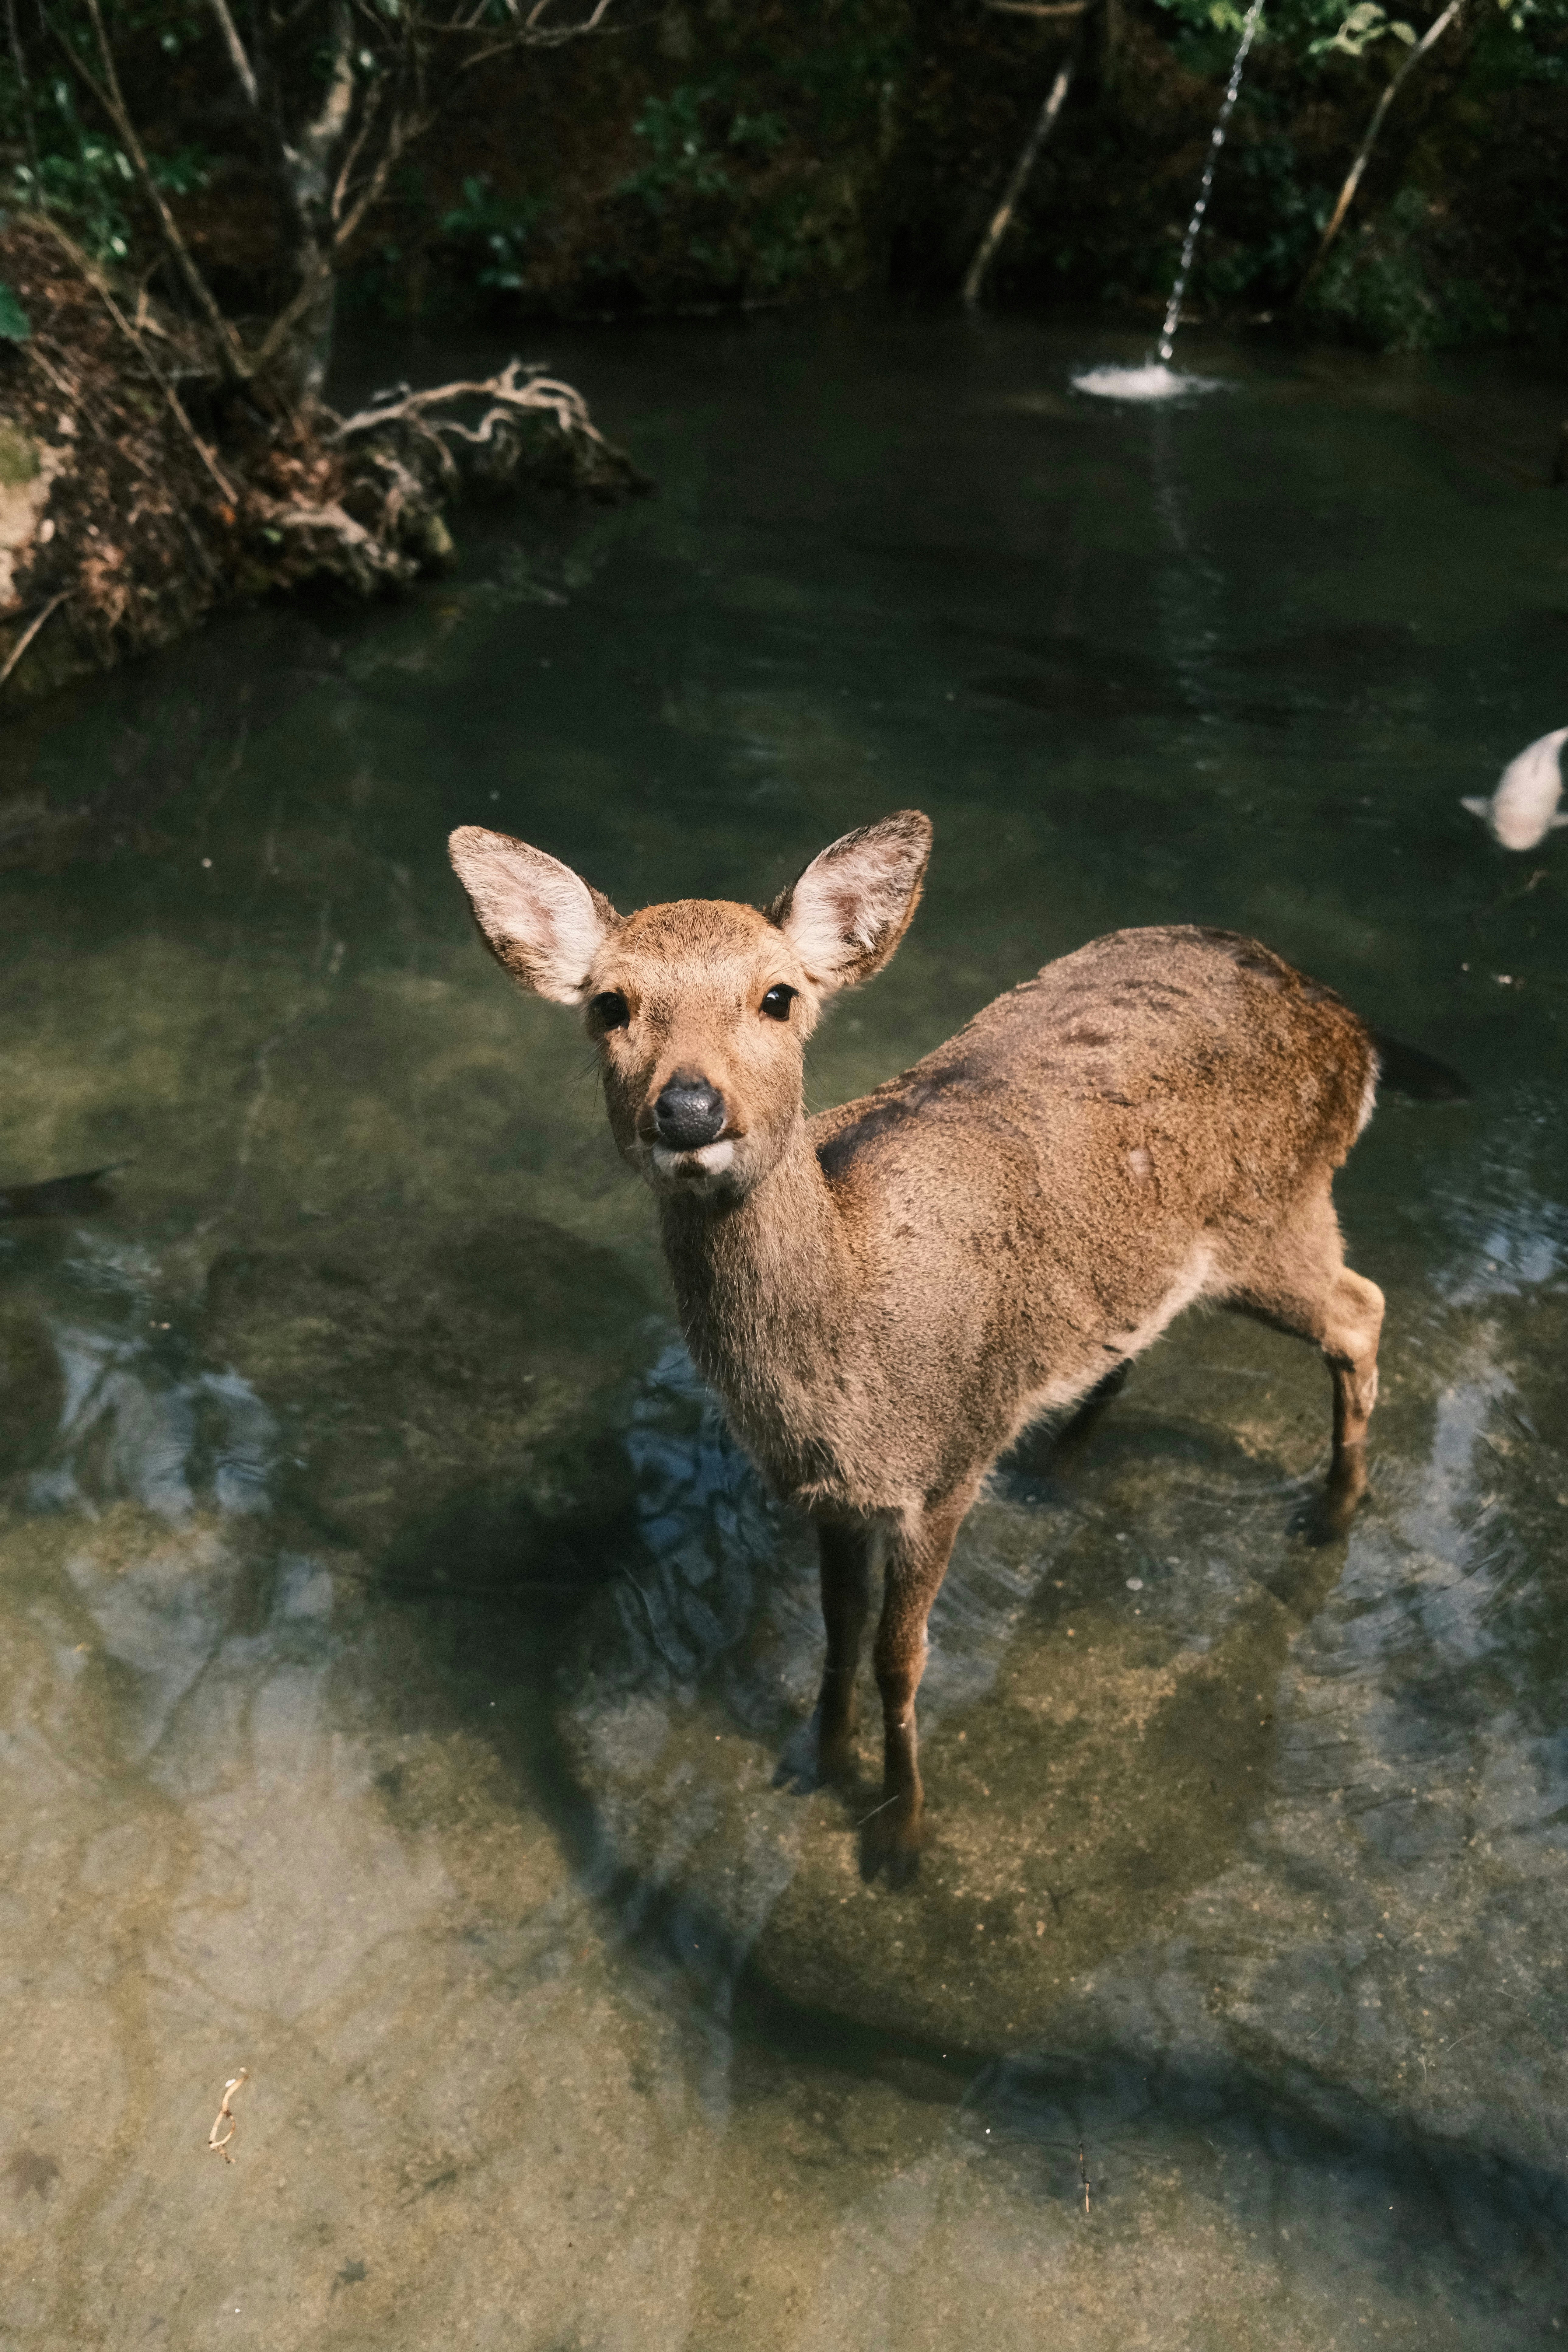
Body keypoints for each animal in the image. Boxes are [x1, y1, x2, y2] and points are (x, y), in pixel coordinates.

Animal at [448, 810, 1385, 1885]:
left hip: (1277, 1210)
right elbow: (836, 1626)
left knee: (1361, 1308)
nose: (687, 1107)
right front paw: (816, 1760)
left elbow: (903, 1656)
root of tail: (1349, 1029)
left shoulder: (948, 1462)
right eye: (610, 1003)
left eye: (778, 996)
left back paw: (1331, 1515)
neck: (849, 1384)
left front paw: (900, 1837)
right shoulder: (827, 1493)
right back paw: (1062, 1469)